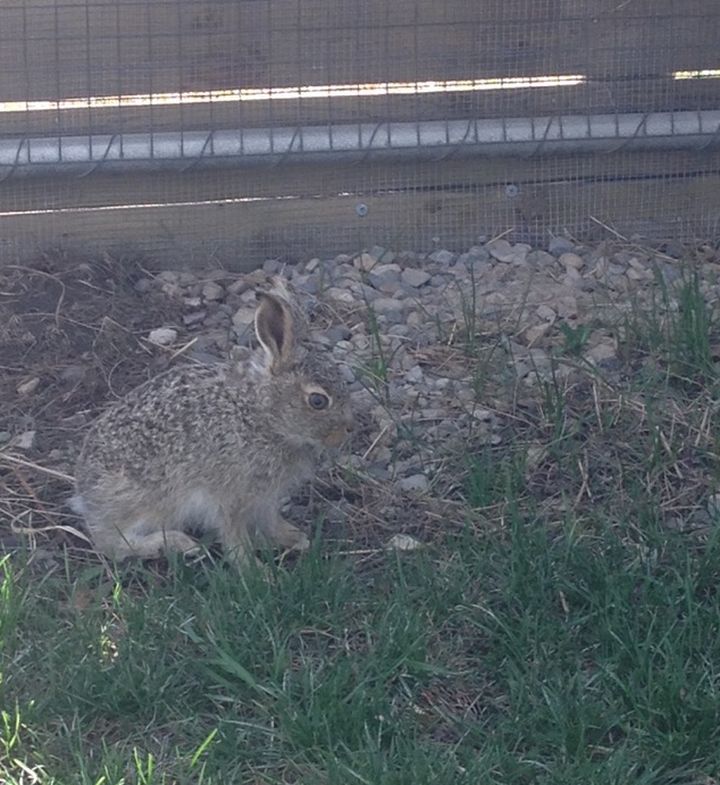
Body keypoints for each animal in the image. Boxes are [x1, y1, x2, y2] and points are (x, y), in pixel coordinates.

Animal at [70, 276, 354, 567]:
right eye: (318, 401)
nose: (349, 429)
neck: (261, 416)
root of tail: (86, 493)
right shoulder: (231, 496)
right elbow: (233, 535)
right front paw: (254, 569)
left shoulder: (265, 498)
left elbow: (270, 520)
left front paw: (295, 538)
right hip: (148, 502)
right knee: (113, 544)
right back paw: (178, 544)